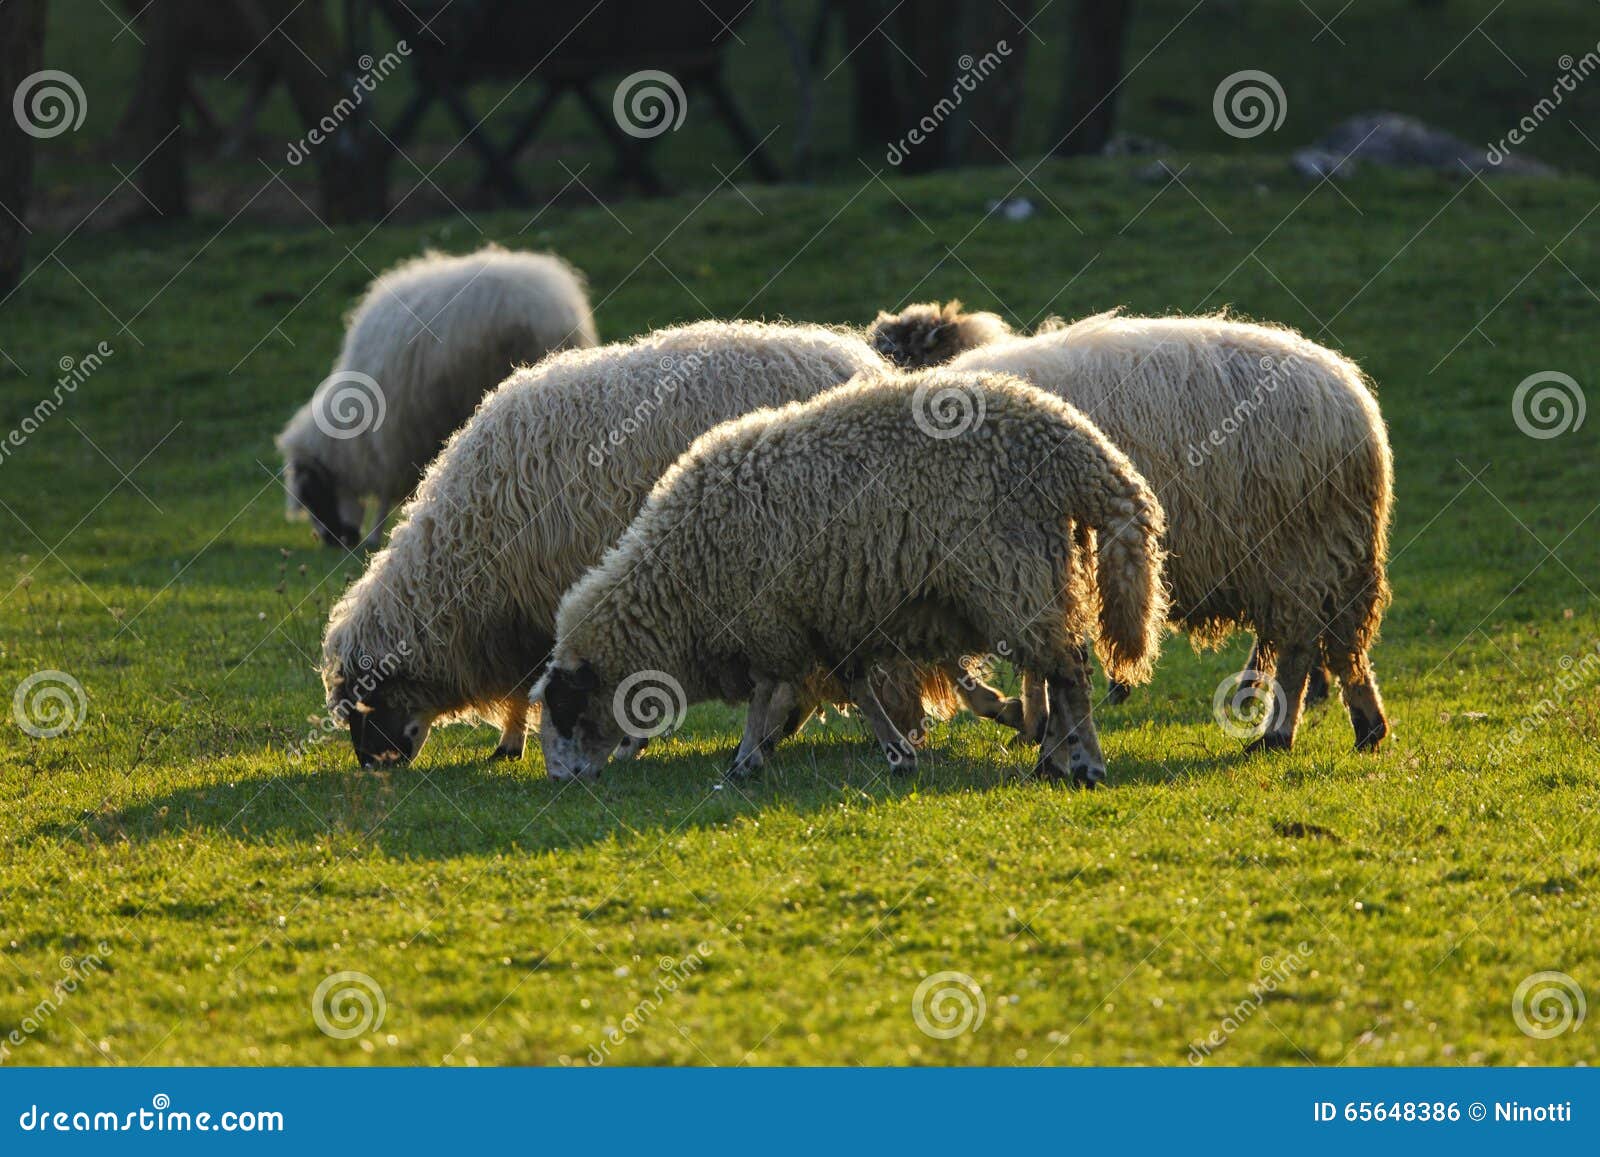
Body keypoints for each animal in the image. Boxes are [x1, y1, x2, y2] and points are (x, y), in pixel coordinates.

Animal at [278, 245, 597, 550]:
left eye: (312, 495)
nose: (332, 542)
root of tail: (550, 304)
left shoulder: (392, 435)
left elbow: (385, 490)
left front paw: (375, 534)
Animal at [533, 367, 1169, 787]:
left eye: (565, 708)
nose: (560, 780)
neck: (680, 567)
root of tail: (1076, 442)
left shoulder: (768, 616)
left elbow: (768, 690)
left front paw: (745, 758)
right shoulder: (828, 614)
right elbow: (856, 684)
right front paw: (897, 753)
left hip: (1007, 569)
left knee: (1067, 669)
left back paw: (1085, 765)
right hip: (1042, 566)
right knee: (1061, 661)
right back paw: (1052, 759)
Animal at [869, 303, 1391, 753]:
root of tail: (1352, 401)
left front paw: (1026, 716)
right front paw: (1035, 720)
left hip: (1297, 547)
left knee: (1301, 643)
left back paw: (1279, 734)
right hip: (1328, 547)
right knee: (1342, 643)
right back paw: (1368, 726)